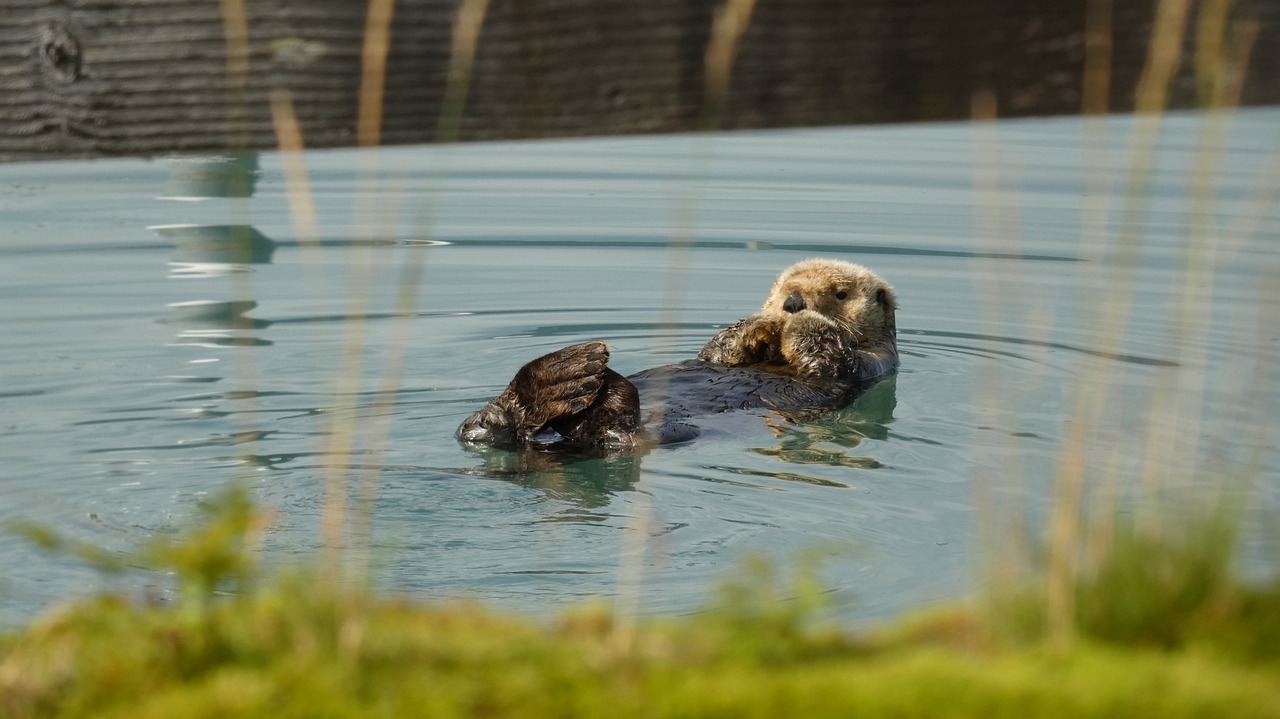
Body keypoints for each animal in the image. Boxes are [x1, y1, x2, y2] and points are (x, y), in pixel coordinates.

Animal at [456, 258, 898, 452]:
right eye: (782, 286)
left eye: (840, 293)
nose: (791, 301)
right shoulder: (718, 353)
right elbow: (715, 352)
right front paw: (754, 325)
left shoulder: (874, 361)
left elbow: (830, 358)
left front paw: (801, 323)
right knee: (486, 428)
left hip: (656, 433)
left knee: (617, 435)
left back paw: (585, 376)